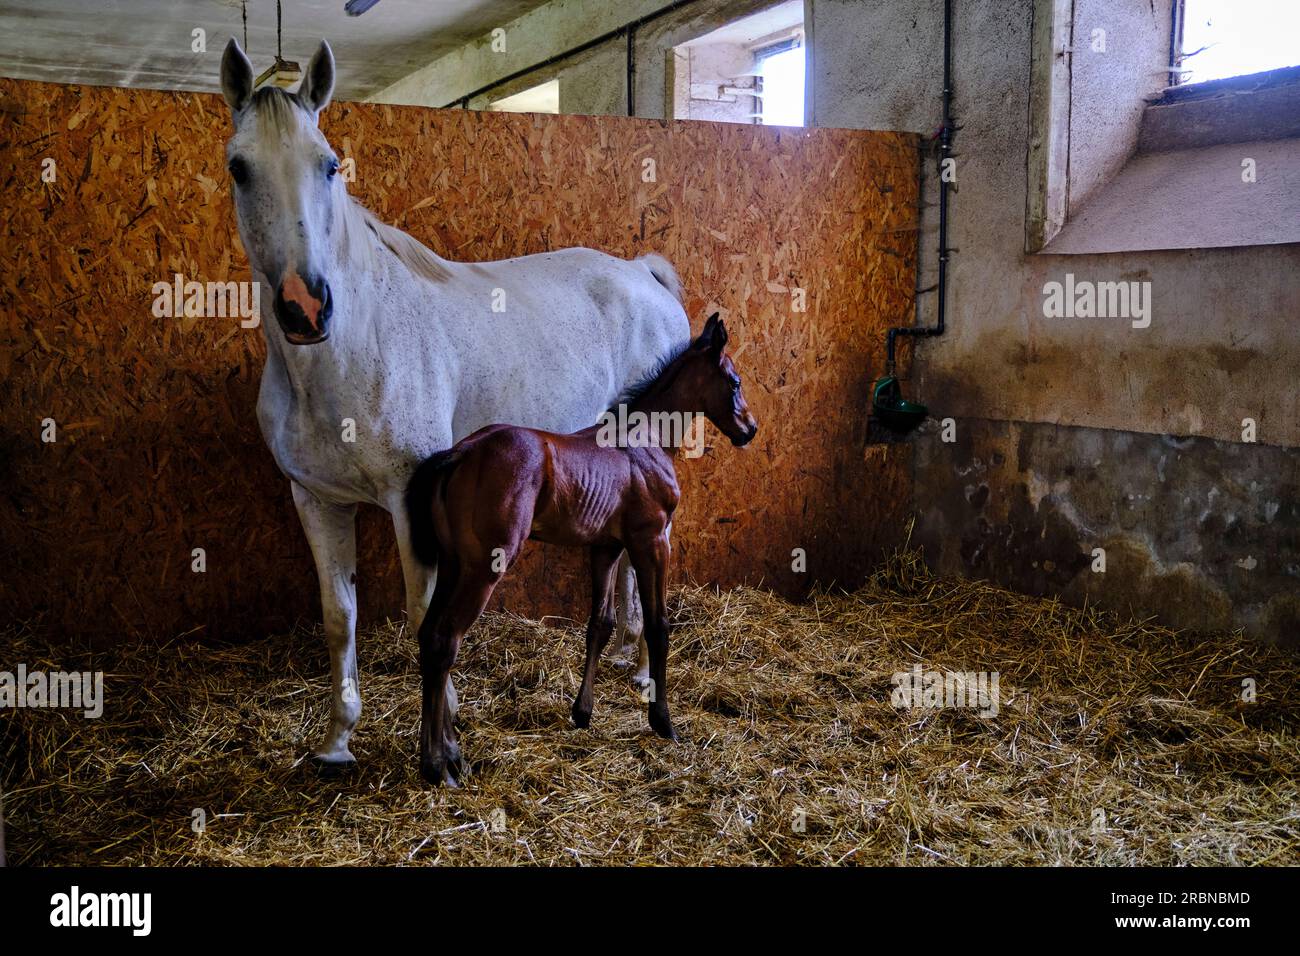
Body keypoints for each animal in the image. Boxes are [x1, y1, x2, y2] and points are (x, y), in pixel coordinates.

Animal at [218, 38, 688, 770]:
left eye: (329, 165)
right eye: (239, 168)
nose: (304, 306)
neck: (350, 349)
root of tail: (644, 275)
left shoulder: (411, 499)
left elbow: (423, 612)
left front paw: (447, 729)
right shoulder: (316, 501)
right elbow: (338, 618)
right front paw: (337, 739)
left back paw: (641, 671)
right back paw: (627, 660)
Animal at [405, 314, 757, 786]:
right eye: (734, 381)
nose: (750, 429)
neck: (646, 438)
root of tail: (460, 453)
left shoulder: (605, 548)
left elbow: (599, 624)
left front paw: (583, 712)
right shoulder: (652, 540)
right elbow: (658, 626)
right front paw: (663, 722)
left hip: (453, 563)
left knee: (429, 636)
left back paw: (446, 755)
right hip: (483, 566)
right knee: (446, 641)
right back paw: (439, 763)